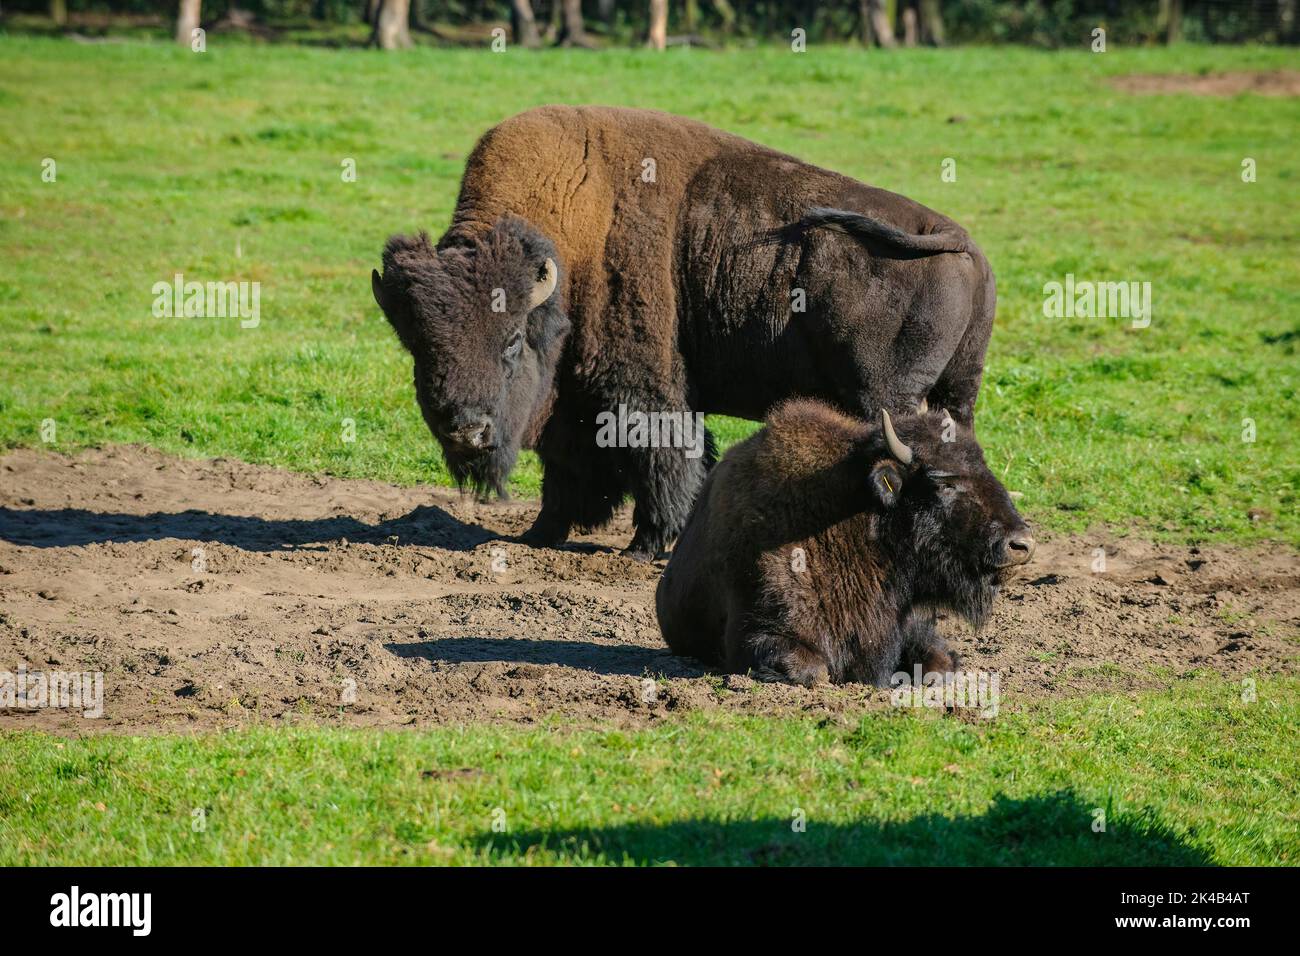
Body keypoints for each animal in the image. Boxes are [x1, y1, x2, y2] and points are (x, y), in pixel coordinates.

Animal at [372, 106, 997, 558]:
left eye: (509, 342)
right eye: (418, 347)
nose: (466, 431)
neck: (569, 235)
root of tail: (958, 238)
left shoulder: (637, 385)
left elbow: (661, 452)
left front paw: (646, 545)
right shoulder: (572, 399)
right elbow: (568, 468)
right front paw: (540, 535)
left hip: (883, 396)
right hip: (956, 392)